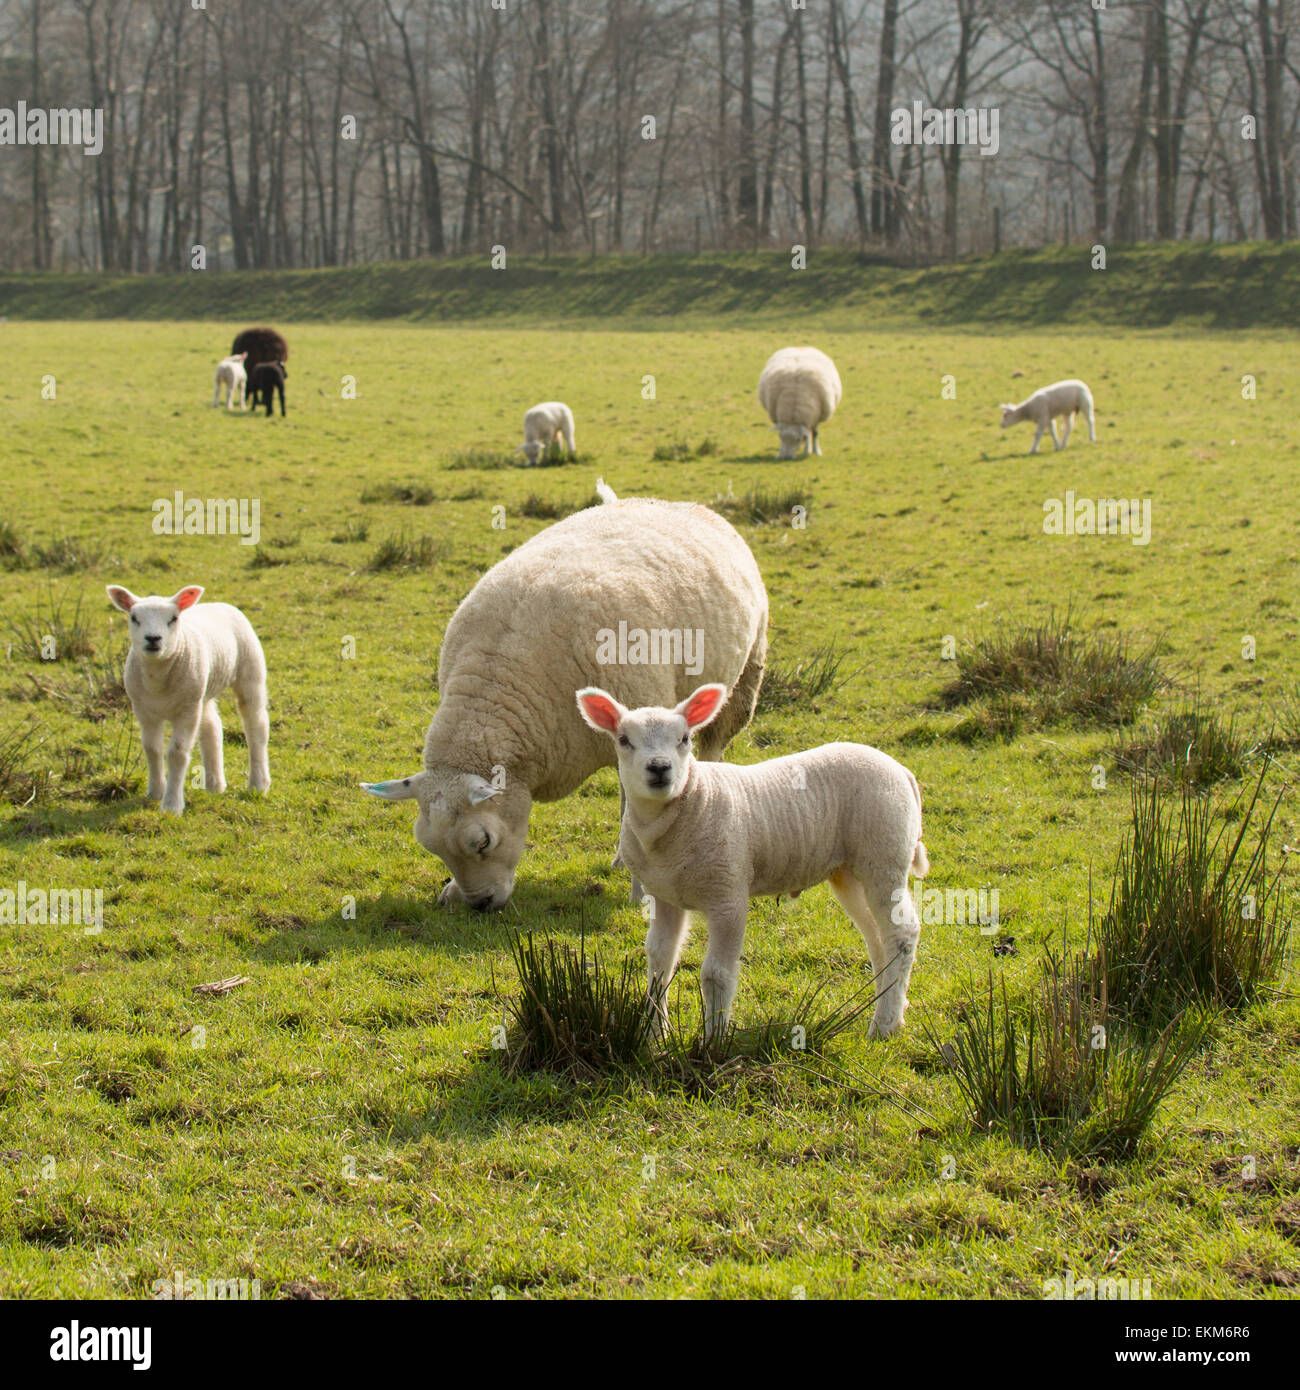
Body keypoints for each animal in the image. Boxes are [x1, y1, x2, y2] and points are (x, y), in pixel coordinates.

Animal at [105, 584, 271, 816]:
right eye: (134, 618)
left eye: (173, 618)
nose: (153, 638)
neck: (158, 681)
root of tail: (219, 604)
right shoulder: (144, 710)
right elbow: (152, 749)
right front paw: (155, 792)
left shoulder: (187, 711)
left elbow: (177, 753)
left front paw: (171, 805)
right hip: (202, 690)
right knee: (212, 727)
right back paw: (215, 785)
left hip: (249, 670)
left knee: (256, 726)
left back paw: (258, 784)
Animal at [361, 495, 768, 912]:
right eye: (433, 849)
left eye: (484, 842)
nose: (481, 904)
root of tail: (674, 502)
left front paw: (641, 891)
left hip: (744, 676)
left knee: (715, 743)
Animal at [576, 682, 929, 1040]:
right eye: (623, 739)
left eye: (685, 738)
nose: (660, 768)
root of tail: (899, 769)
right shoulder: (664, 896)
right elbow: (660, 961)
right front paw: (654, 1033)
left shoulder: (728, 895)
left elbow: (716, 974)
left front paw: (713, 1041)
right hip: (849, 871)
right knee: (876, 936)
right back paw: (893, 1008)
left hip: (884, 855)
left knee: (902, 932)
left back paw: (884, 1025)